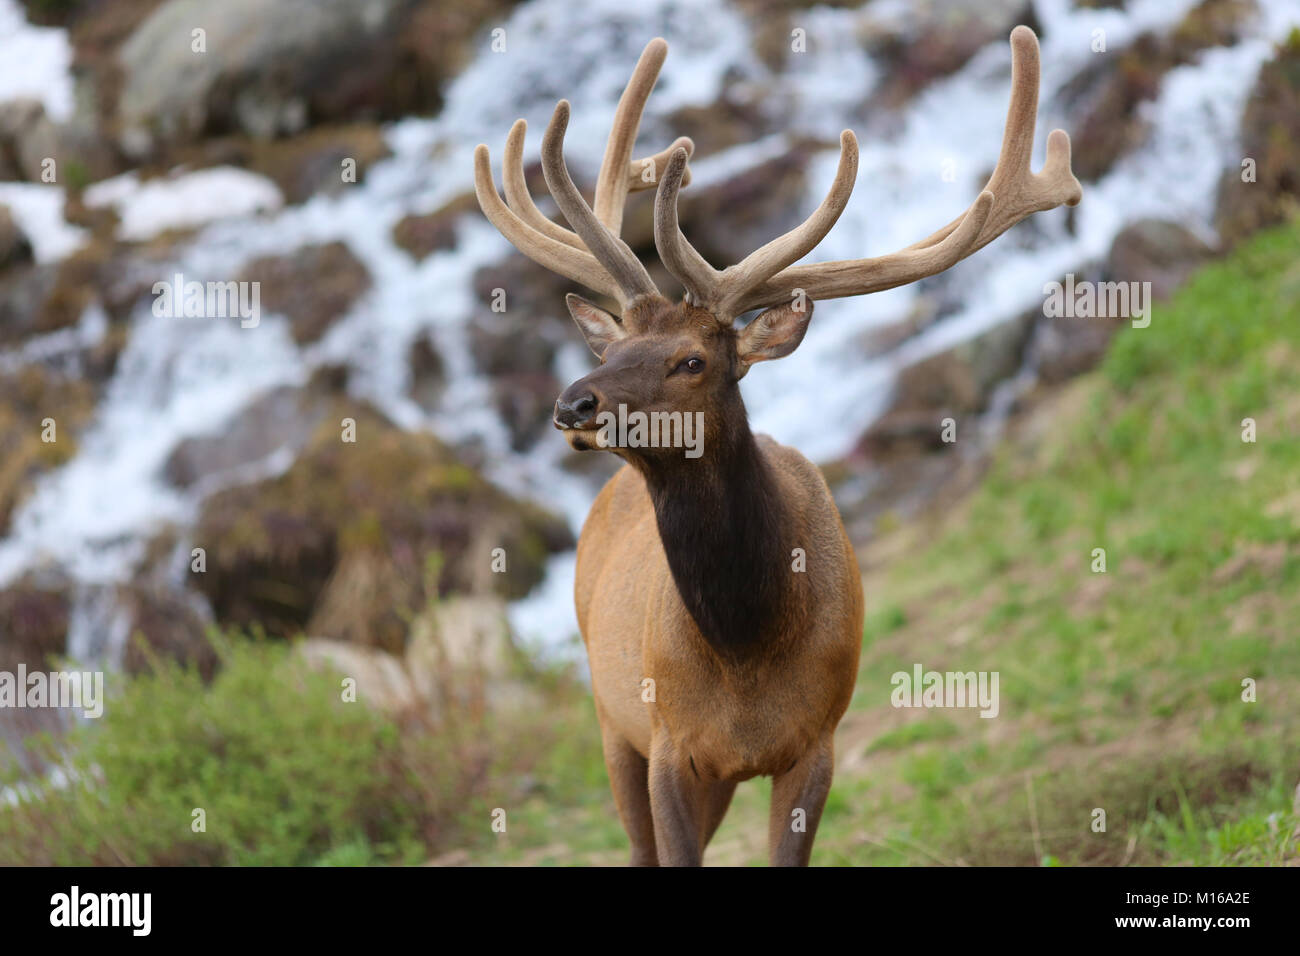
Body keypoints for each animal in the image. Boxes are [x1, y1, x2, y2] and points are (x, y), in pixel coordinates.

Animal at [473, 27, 1081, 866]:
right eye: (614, 344)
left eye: (692, 360)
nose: (574, 404)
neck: (747, 653)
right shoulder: (666, 742)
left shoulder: (817, 741)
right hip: (609, 719)